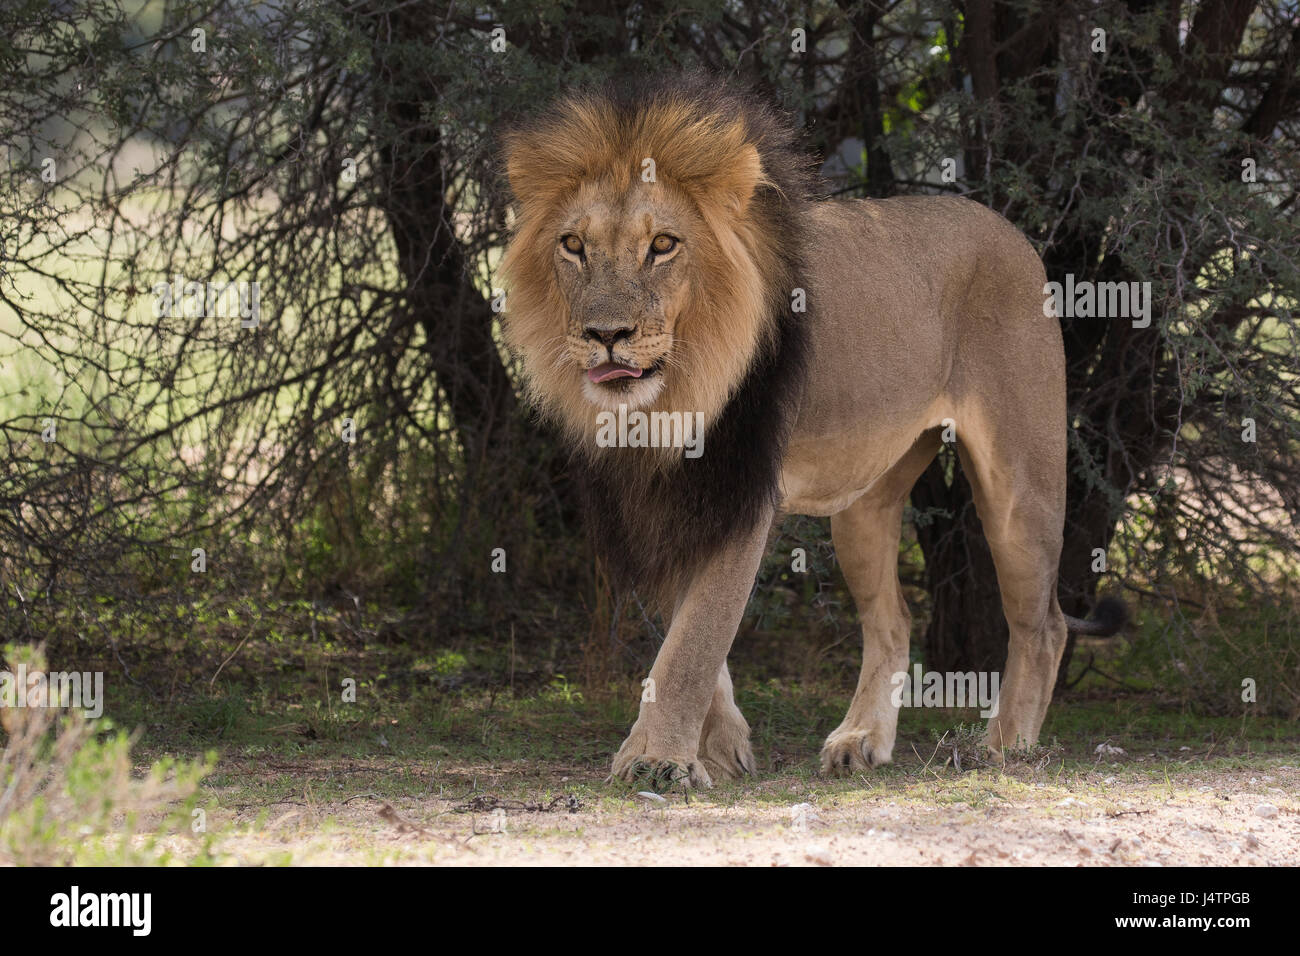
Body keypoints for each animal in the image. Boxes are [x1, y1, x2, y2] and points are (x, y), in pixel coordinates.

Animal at [500, 76, 1125, 789]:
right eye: (573, 246)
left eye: (663, 245)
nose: (606, 335)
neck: (672, 397)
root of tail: (1007, 228)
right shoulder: (666, 500)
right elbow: (690, 634)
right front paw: (721, 746)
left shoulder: (742, 493)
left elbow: (693, 642)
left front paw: (659, 761)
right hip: (864, 503)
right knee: (893, 622)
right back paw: (862, 741)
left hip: (1020, 488)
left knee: (1043, 625)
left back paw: (1003, 747)